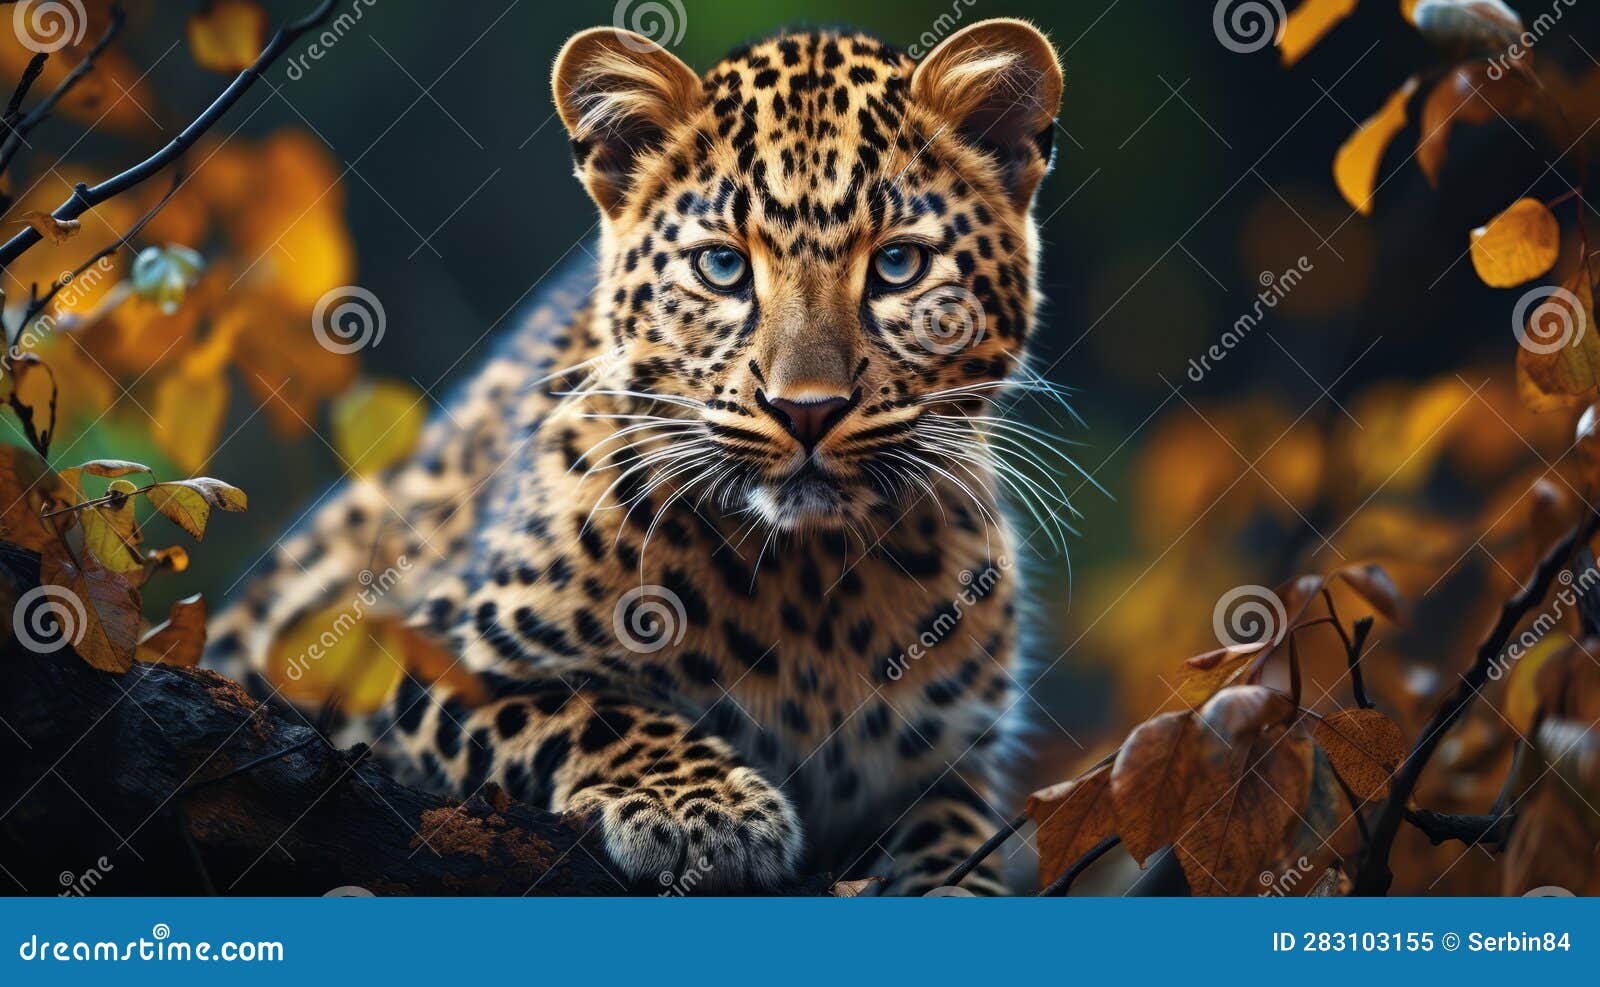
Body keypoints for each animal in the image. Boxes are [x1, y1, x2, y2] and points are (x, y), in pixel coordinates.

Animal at [206, 18, 1068, 895]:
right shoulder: (408, 661)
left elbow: (957, 840)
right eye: (722, 266)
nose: (807, 409)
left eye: (898, 265)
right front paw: (701, 810)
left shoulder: (948, 768)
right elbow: (587, 706)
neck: (817, 584)